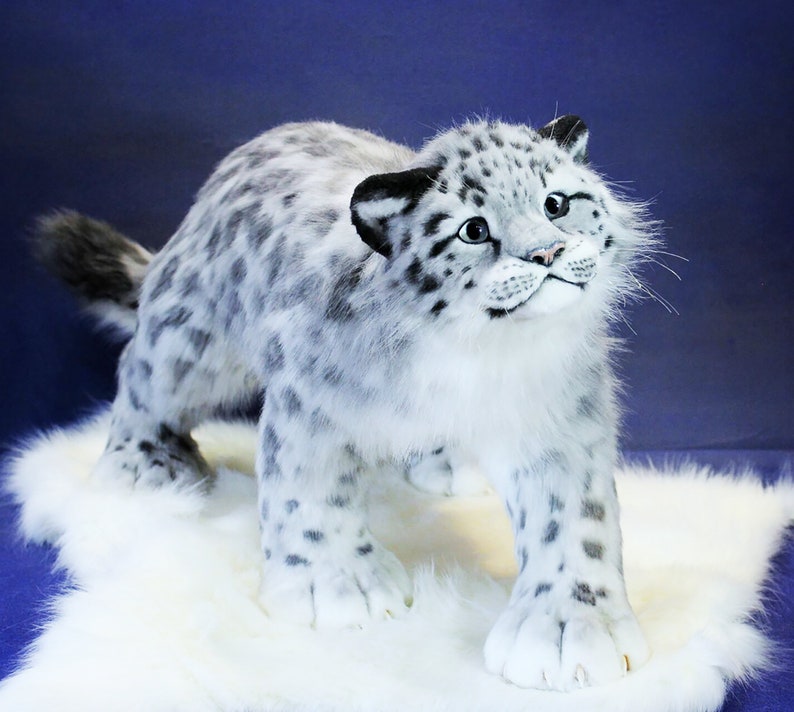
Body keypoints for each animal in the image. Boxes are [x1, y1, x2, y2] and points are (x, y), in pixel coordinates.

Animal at [34, 115, 656, 691]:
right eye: (474, 230)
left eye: (557, 203)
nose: (547, 252)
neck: (480, 353)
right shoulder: (309, 403)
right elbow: (307, 495)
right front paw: (336, 586)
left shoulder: (561, 421)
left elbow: (573, 521)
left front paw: (569, 629)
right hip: (193, 342)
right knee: (142, 372)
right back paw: (145, 468)